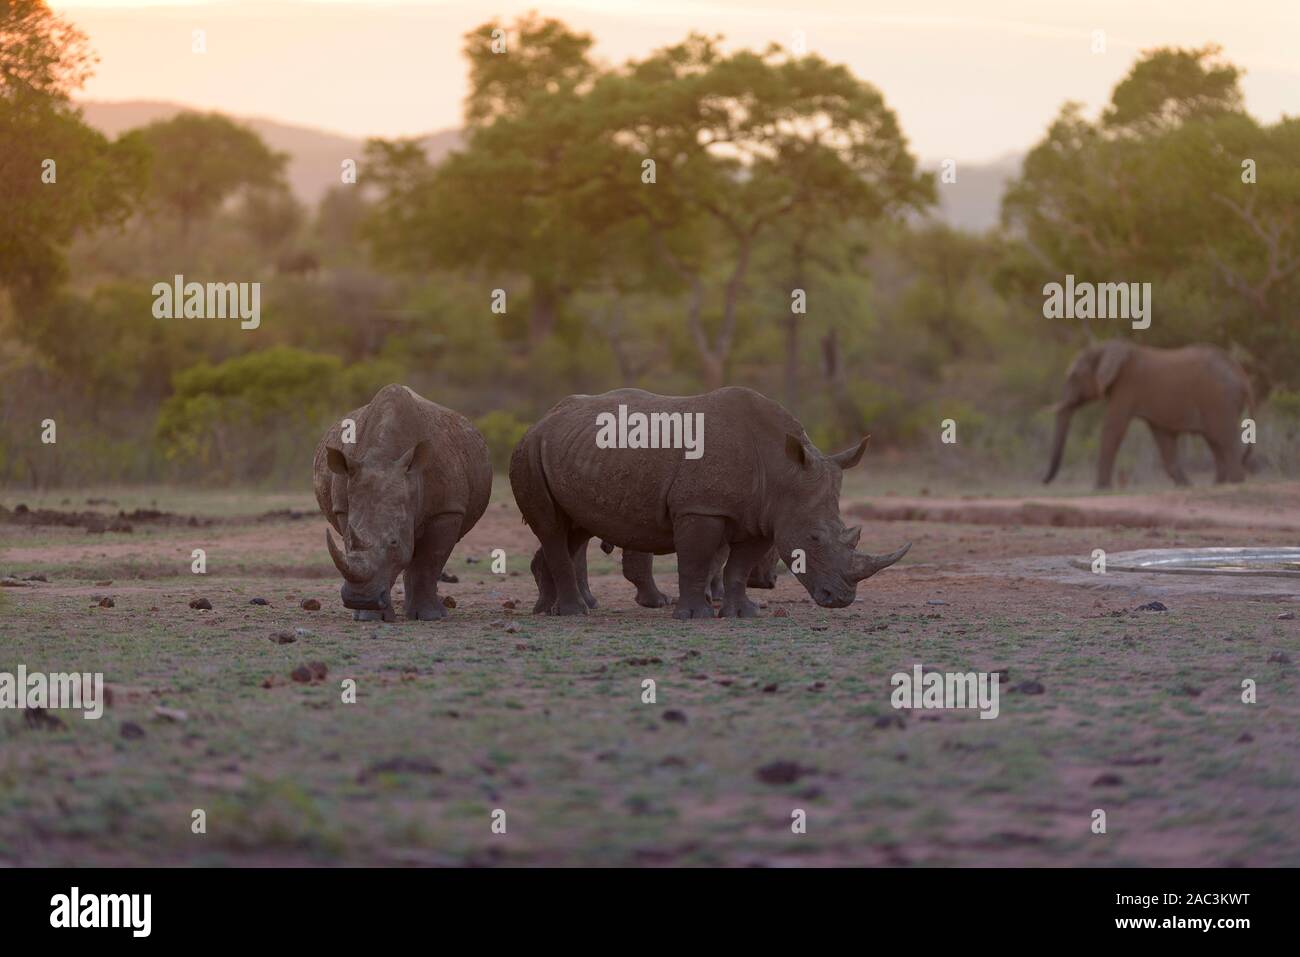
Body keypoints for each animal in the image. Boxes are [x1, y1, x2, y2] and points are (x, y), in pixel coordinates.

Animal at [313, 384, 492, 621]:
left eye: (394, 542)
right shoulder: (343, 508)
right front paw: (370, 617)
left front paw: (430, 617)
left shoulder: (447, 511)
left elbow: (429, 561)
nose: (359, 599)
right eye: (349, 541)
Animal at [510, 386, 909, 618]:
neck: (782, 473)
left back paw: (547, 610)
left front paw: (744, 613)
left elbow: (738, 567)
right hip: (528, 450)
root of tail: (541, 420)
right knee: (552, 528)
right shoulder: (700, 507)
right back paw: (574, 613)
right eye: (814, 538)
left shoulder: (762, 516)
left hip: (568, 451)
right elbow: (695, 561)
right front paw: (693, 616)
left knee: (574, 528)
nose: (841, 599)